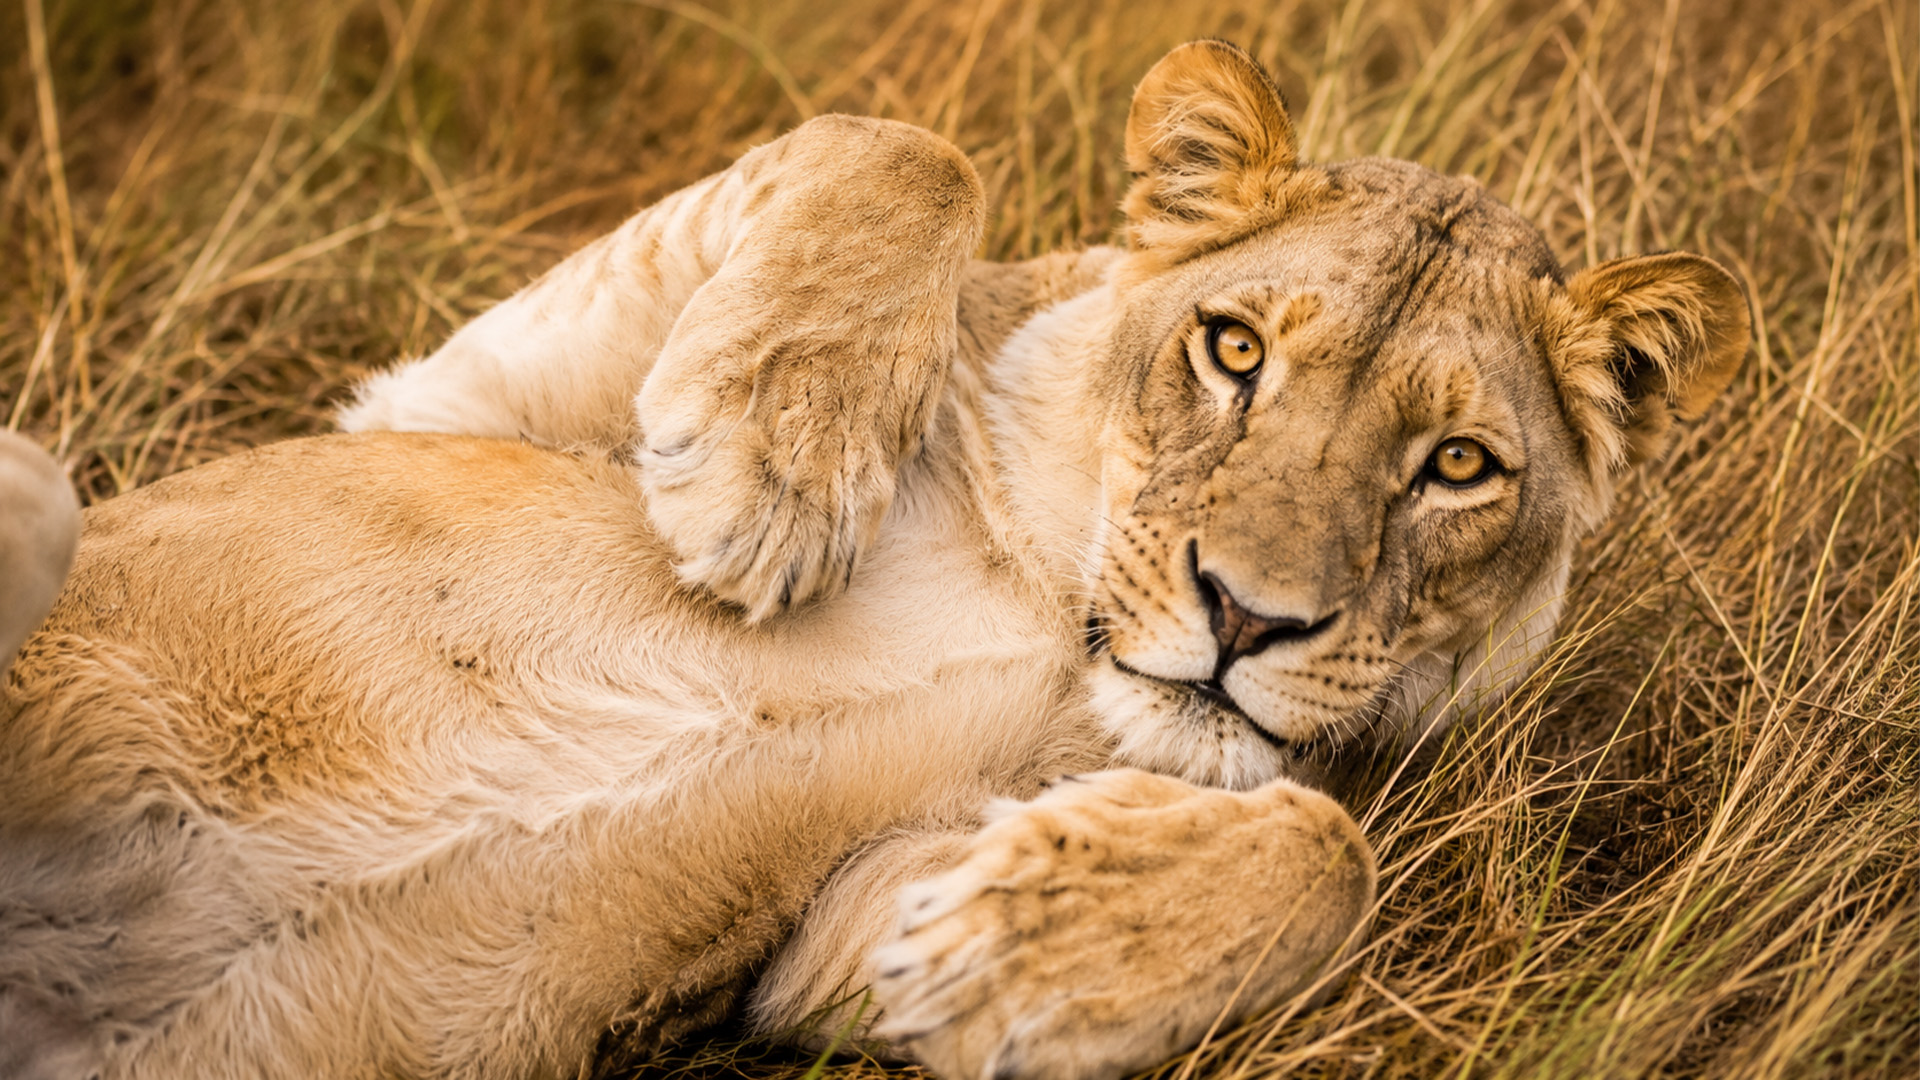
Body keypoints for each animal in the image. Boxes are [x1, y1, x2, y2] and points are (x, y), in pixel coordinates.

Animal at [0, 41, 1747, 1080]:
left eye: (1459, 467)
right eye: (1234, 349)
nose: (1245, 617)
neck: (1047, 604)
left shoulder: (825, 940)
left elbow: (1331, 852)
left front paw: (1020, 957)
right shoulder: (431, 405)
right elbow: (906, 146)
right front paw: (772, 470)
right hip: (66, 513)